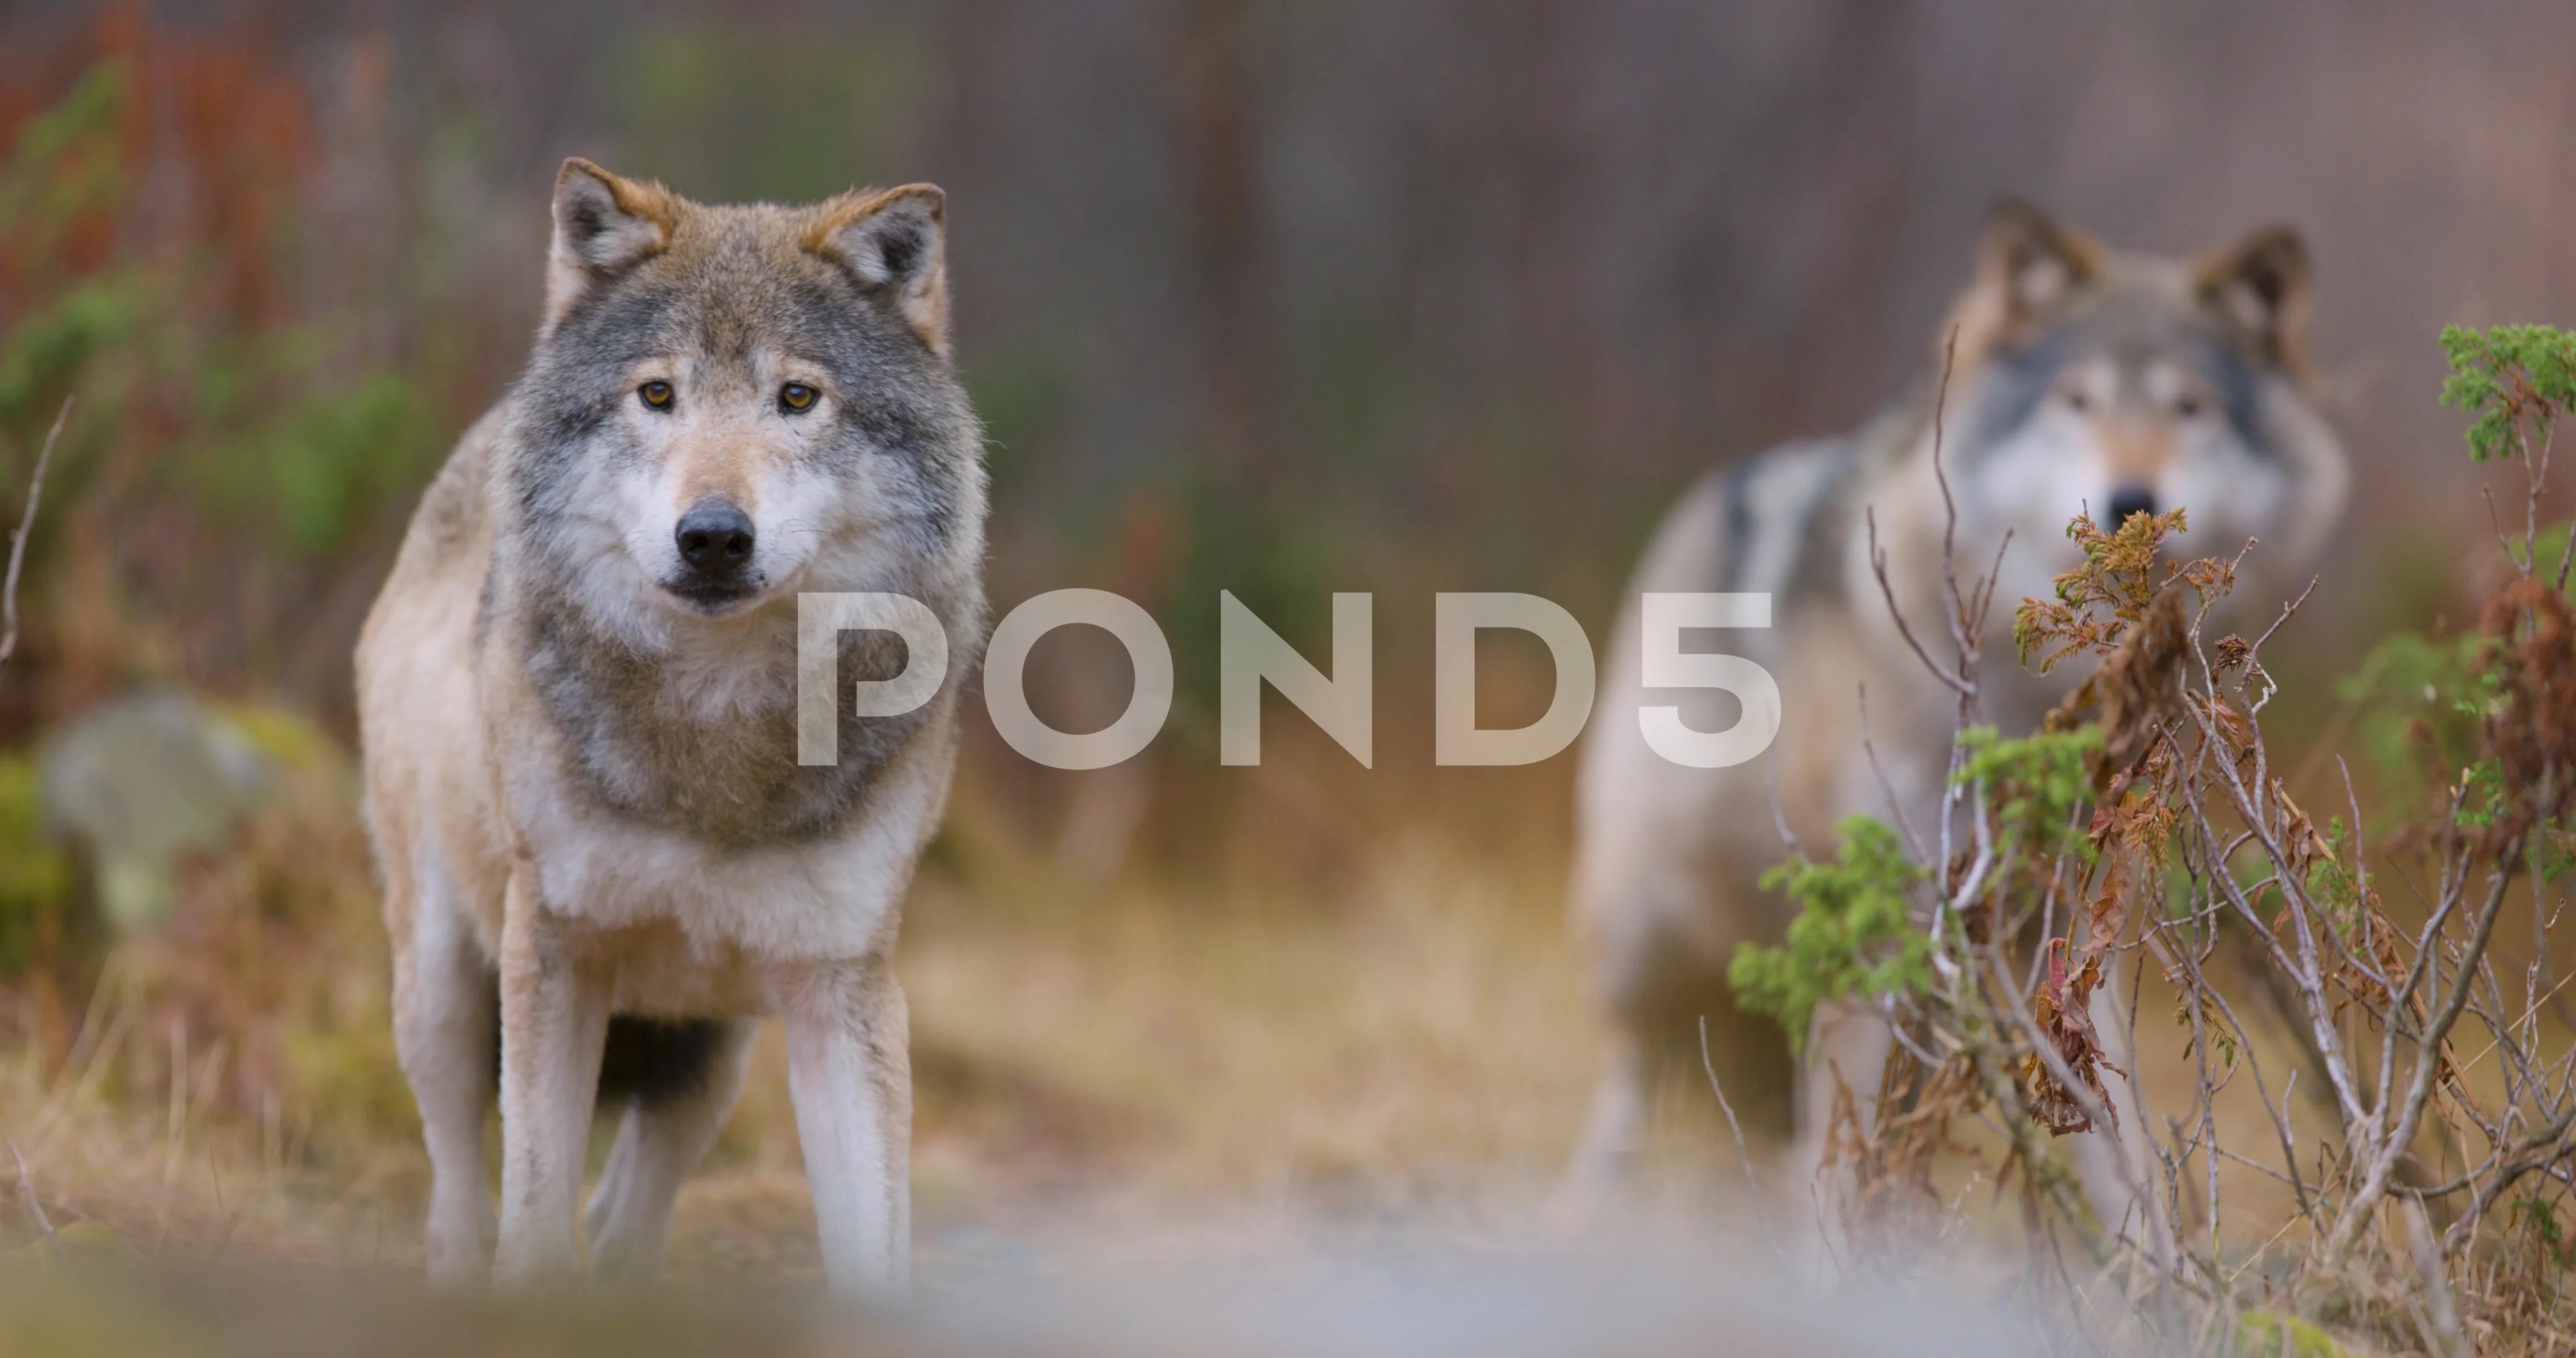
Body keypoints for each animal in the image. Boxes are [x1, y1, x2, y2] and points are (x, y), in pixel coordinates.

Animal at [356, 158, 987, 1297]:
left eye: (796, 397)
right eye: (658, 394)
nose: (714, 538)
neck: (716, 735)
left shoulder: (840, 986)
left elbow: (873, 1243)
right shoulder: (554, 949)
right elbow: (532, 1214)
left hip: (713, 1051)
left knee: (626, 1216)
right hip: (444, 992)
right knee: (462, 1193)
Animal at [1561, 201, 2348, 1253]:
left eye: (2191, 408)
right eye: (2075, 399)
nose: (2132, 499)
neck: (2019, 705)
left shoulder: (2070, 942)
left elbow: (2124, 1158)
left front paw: (2158, 1279)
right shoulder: (1873, 932)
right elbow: (1838, 1175)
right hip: (1653, 936)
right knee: (1633, 1077)